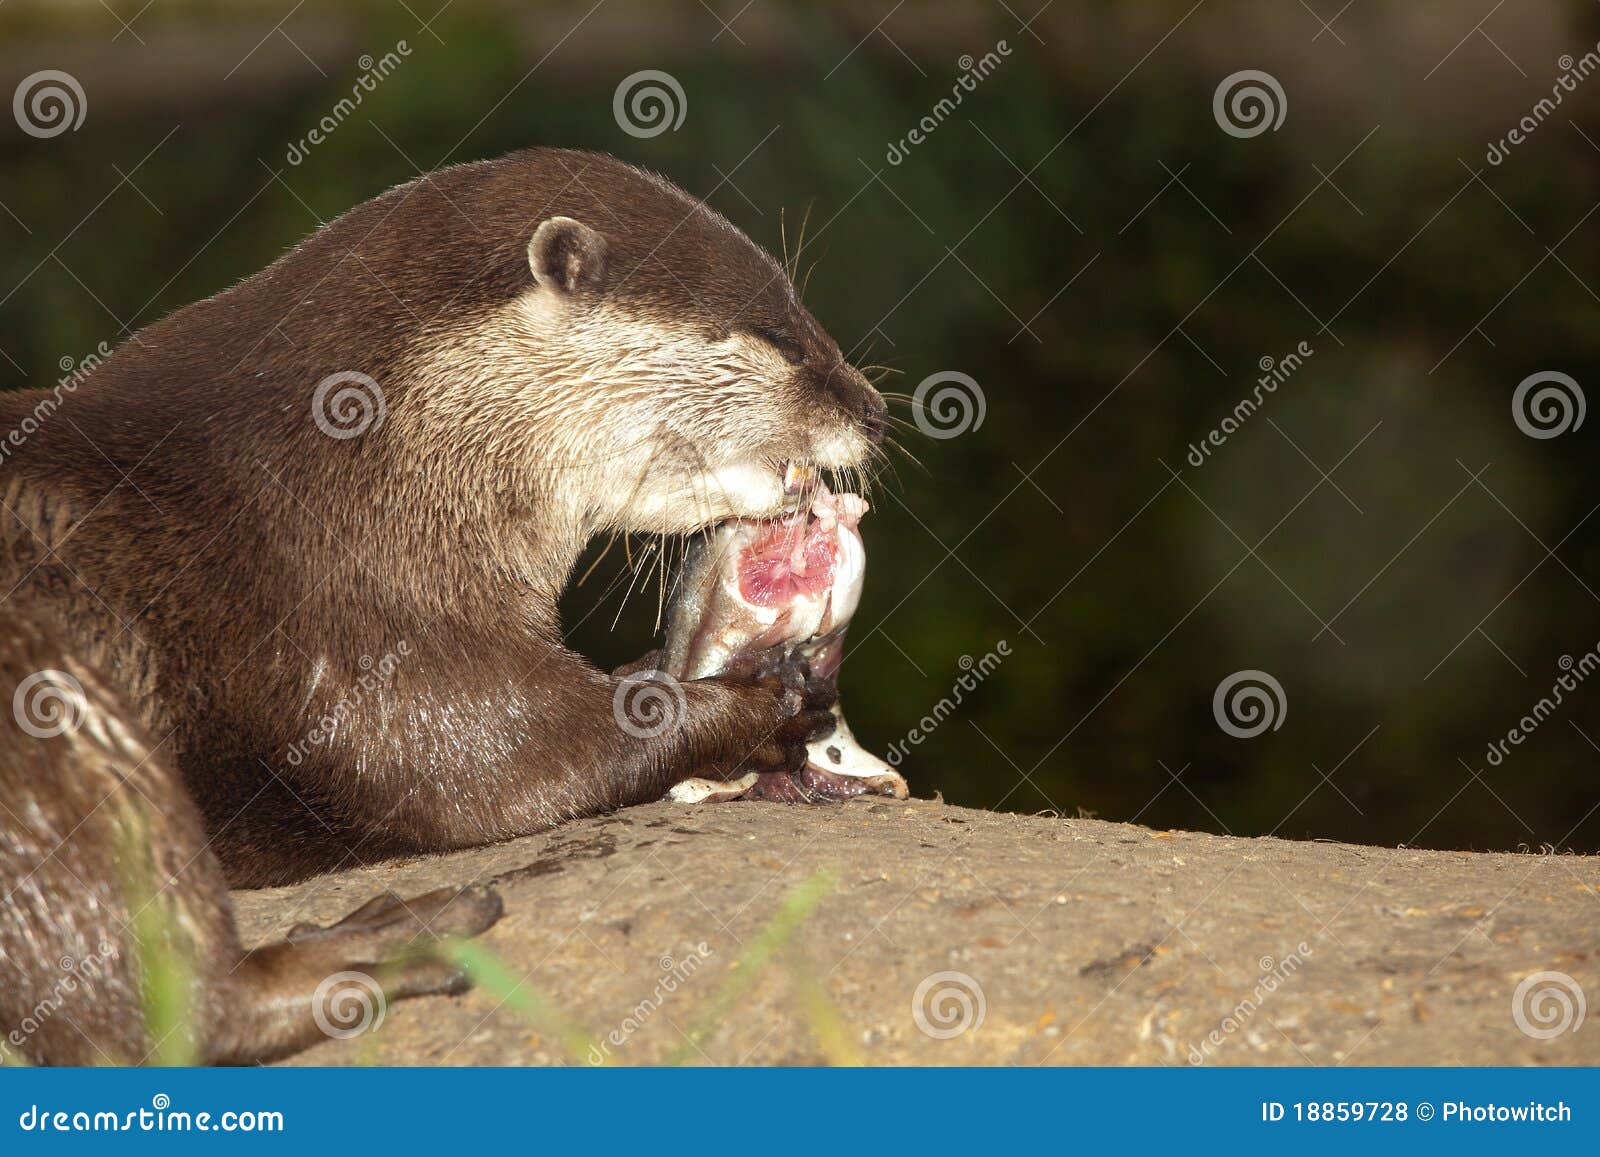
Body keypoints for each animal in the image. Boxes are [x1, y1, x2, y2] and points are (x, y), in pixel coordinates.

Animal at [0, 148, 886, 1062]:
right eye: (776, 338)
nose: (877, 409)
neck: (355, 472)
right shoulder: (343, 618)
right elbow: (493, 761)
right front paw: (761, 704)